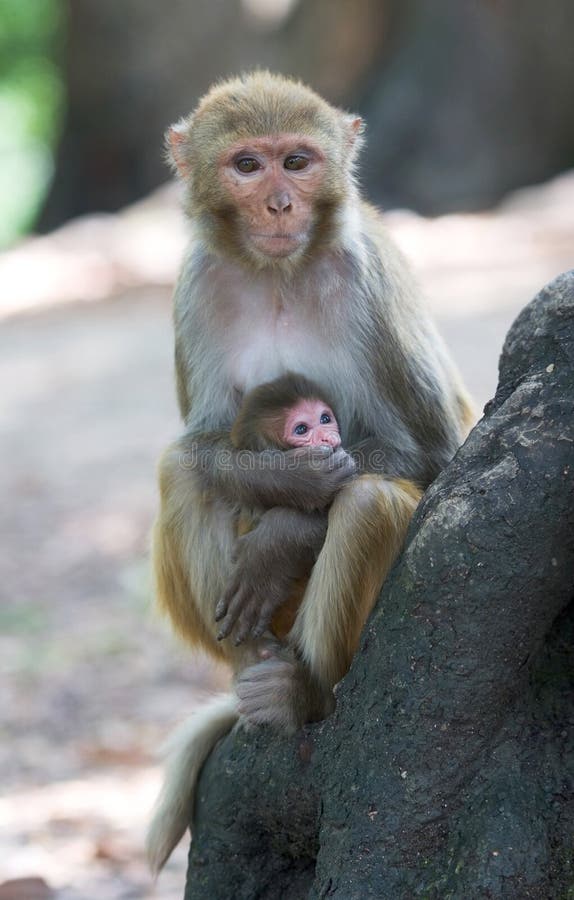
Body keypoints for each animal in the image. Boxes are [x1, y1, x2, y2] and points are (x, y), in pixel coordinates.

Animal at [147, 71, 475, 873]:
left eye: (296, 163)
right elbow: (204, 442)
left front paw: (287, 532)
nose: (279, 204)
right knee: (185, 472)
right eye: (247, 166)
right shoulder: (197, 282)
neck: (277, 272)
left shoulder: (369, 279)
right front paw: (293, 492)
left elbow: (434, 452)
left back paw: (307, 696)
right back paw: (254, 672)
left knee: (370, 503)